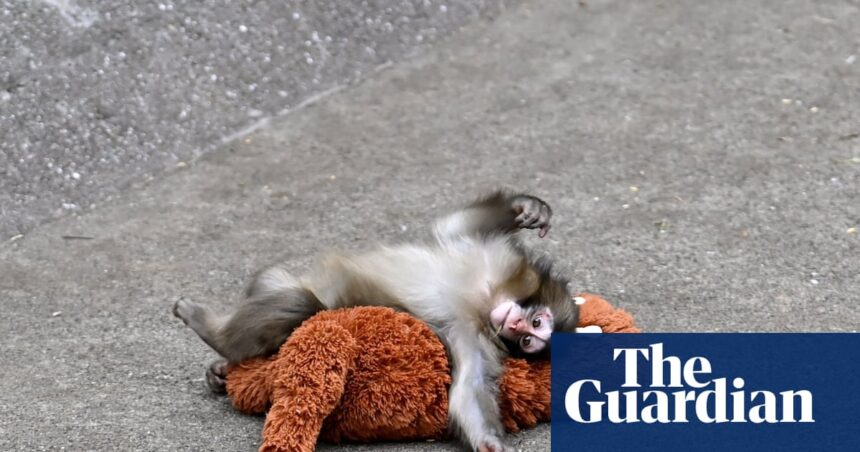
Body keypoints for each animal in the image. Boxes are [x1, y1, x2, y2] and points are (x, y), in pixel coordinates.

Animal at [173, 190, 580, 452]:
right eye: (536, 324)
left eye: (529, 341)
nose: (516, 327)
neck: (487, 299)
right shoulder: (495, 258)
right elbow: (455, 225)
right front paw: (528, 207)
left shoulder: (475, 337)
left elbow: (468, 389)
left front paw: (488, 443)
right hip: (277, 279)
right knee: (293, 295)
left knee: (301, 304)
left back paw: (219, 348)